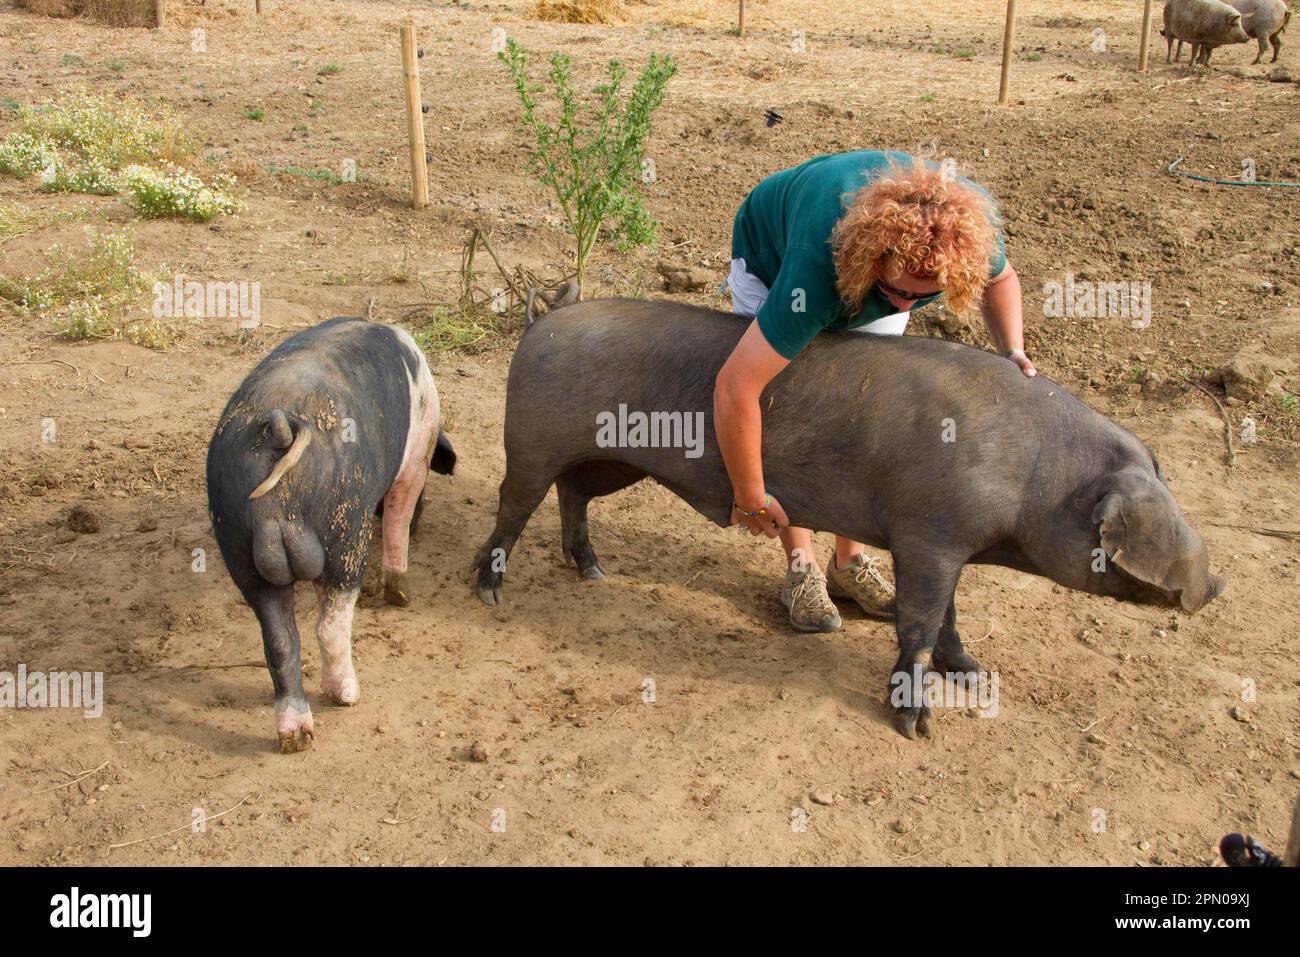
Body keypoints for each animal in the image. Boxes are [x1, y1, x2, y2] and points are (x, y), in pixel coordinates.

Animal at [208, 318, 456, 752]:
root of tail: (280, 427)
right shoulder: (415, 459)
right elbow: (398, 518)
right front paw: (401, 597)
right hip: (345, 531)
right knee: (330, 622)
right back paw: (348, 695)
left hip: (237, 541)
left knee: (279, 638)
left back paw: (296, 737)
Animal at [472, 300, 1225, 739]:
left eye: (1166, 478)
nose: (1216, 585)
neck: (1039, 479)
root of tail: (540, 323)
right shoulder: (929, 534)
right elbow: (919, 622)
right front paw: (918, 728)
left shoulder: (946, 543)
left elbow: (949, 616)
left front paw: (974, 673)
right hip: (532, 440)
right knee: (513, 502)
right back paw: (489, 591)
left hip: (609, 459)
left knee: (573, 494)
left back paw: (593, 571)